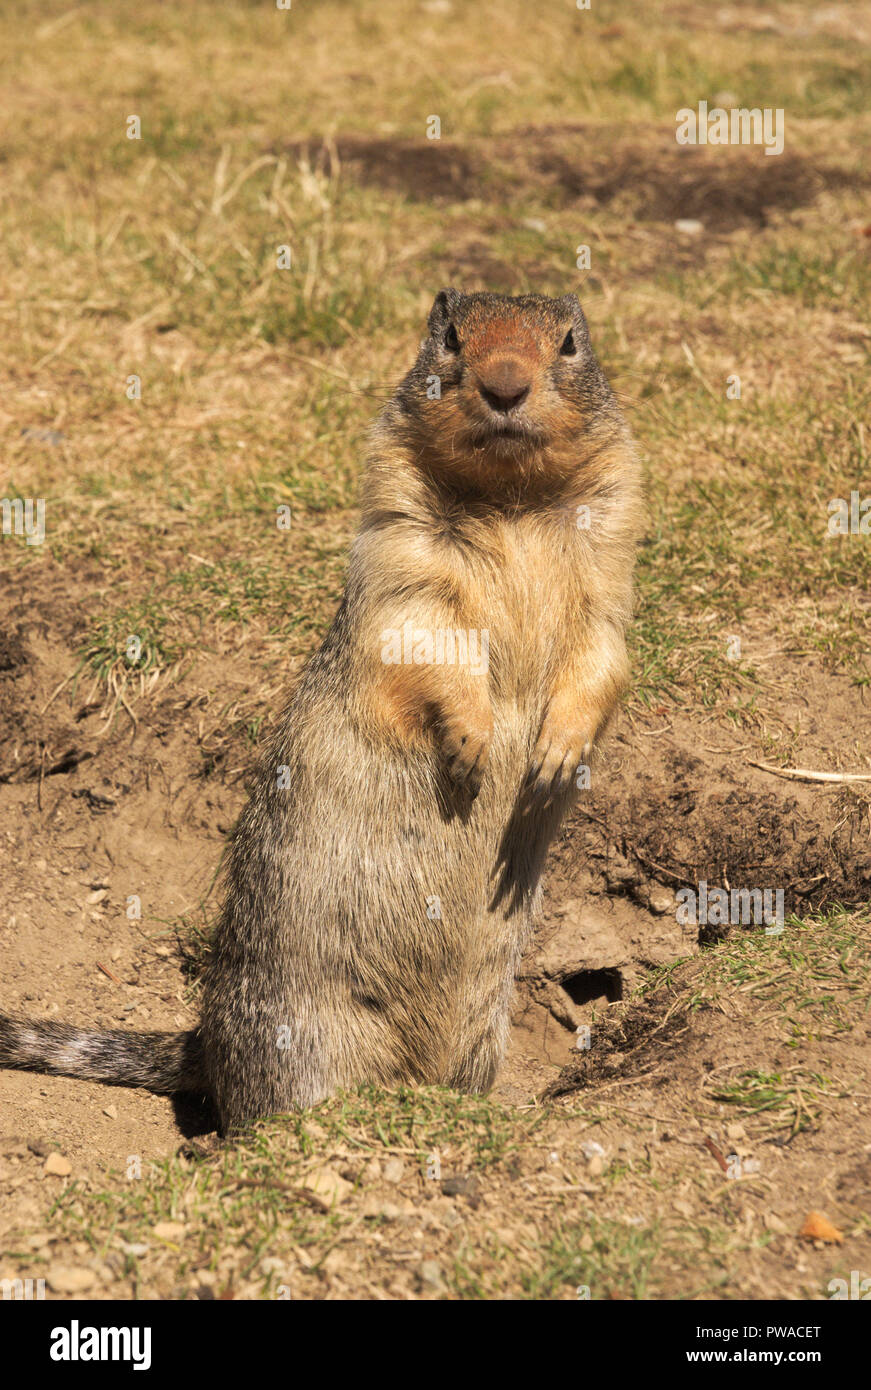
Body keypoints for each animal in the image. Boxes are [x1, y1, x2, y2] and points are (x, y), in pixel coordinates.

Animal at [0, 290, 642, 1133]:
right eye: (449, 336)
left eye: (569, 342)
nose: (504, 385)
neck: (512, 501)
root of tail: (206, 1044)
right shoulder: (401, 555)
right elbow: (421, 639)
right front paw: (472, 740)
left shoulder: (610, 555)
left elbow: (601, 656)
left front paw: (555, 756)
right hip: (302, 1037)